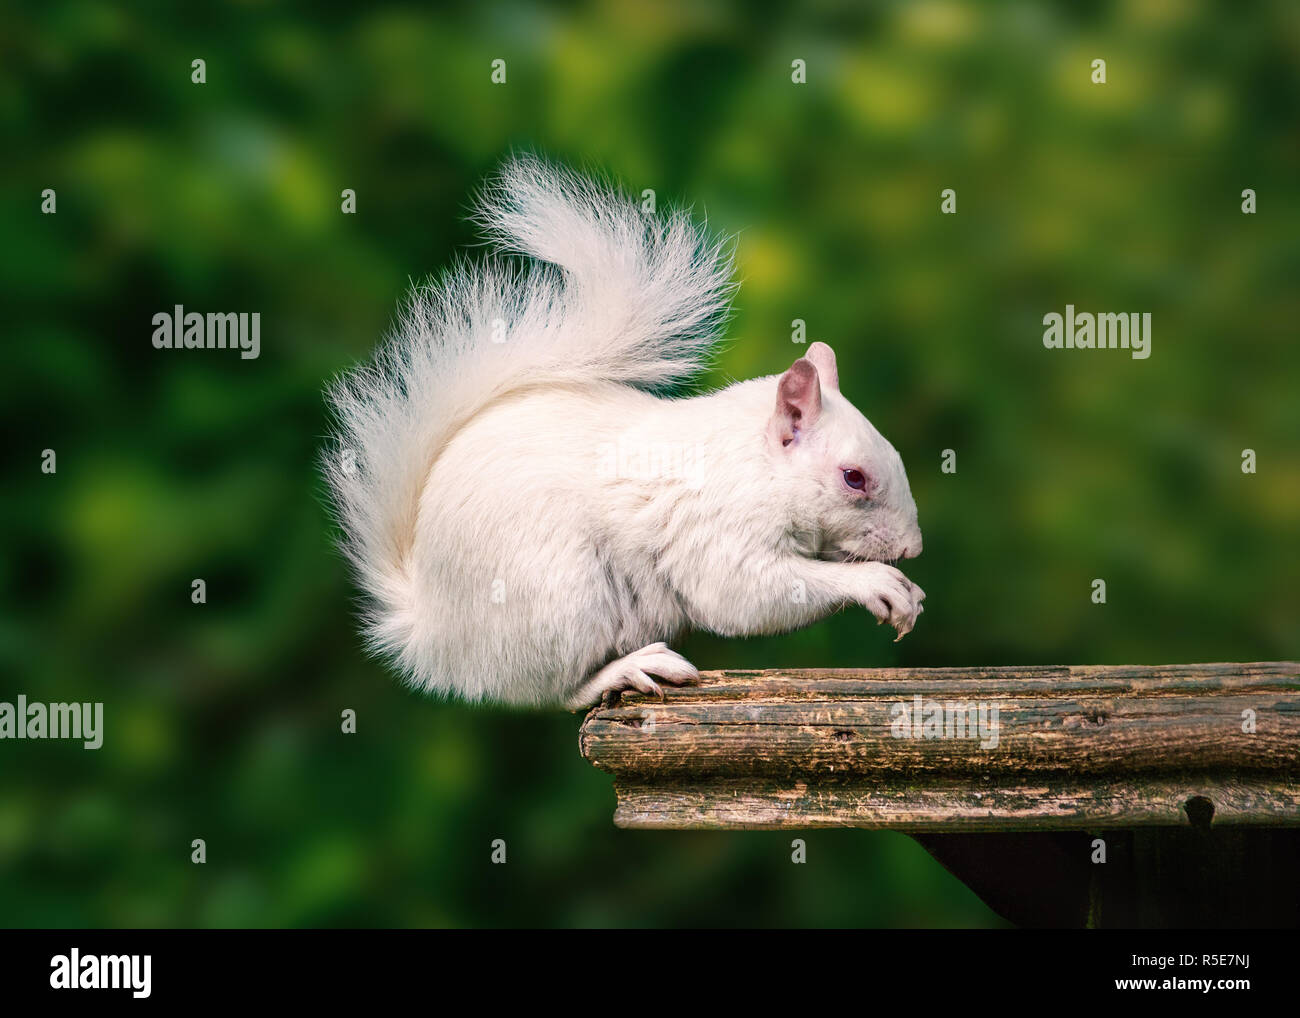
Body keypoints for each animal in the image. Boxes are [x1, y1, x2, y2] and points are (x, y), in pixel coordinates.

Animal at [325, 156, 924, 710]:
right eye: (852, 477)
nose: (913, 548)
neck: (754, 464)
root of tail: (434, 636)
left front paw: (909, 591)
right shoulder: (715, 530)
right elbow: (743, 593)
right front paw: (877, 583)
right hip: (559, 599)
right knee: (555, 691)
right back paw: (629, 669)